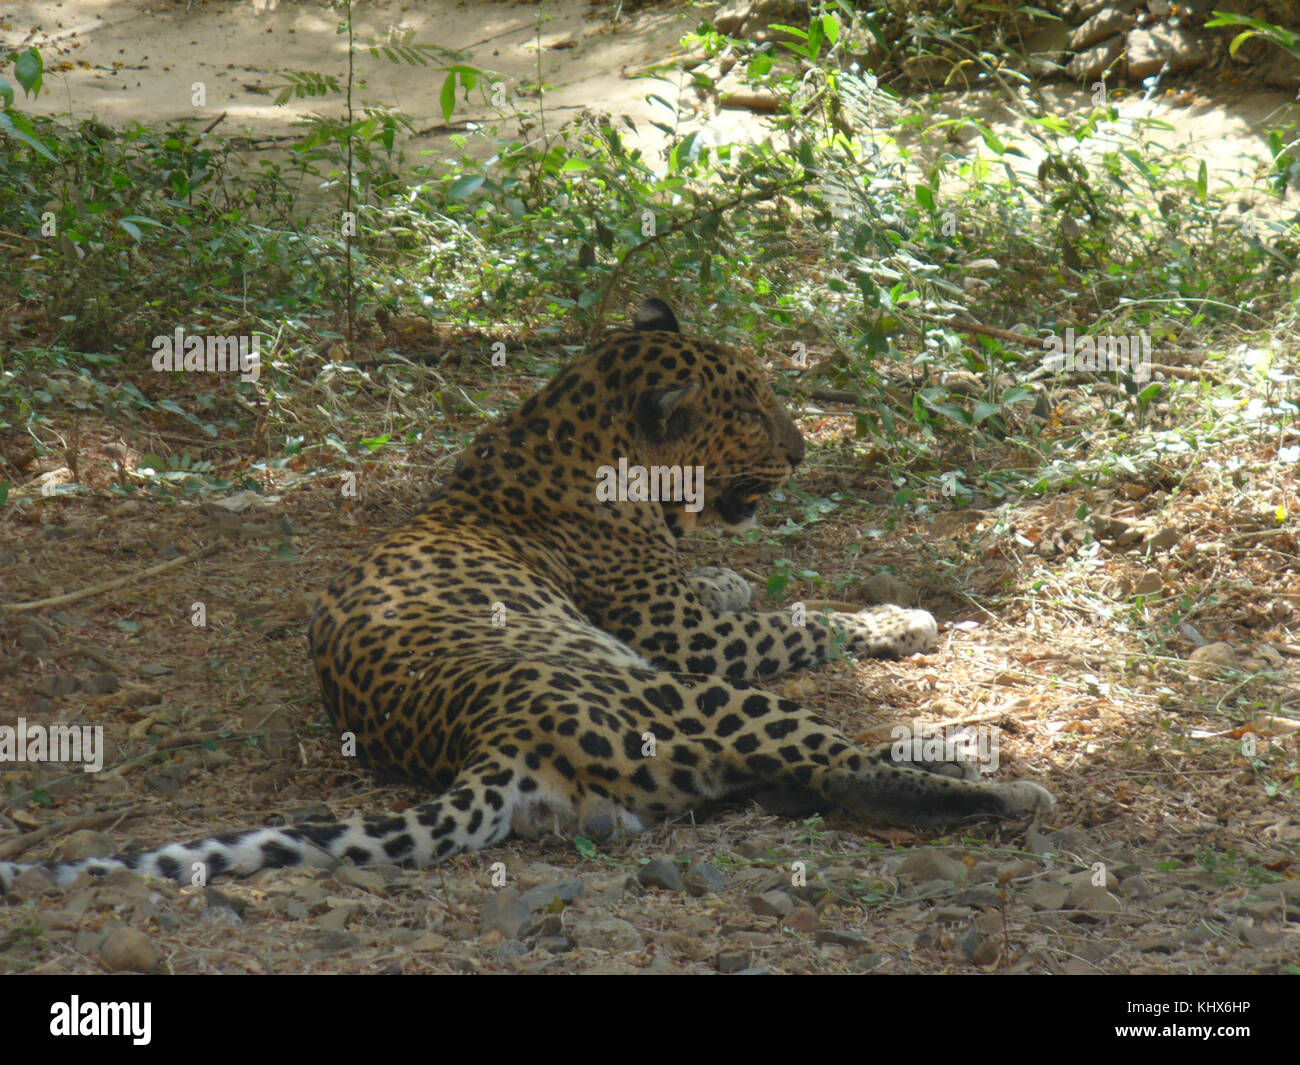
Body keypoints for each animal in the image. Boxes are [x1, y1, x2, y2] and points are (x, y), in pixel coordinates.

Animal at [0, 299, 1052, 891]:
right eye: (751, 409)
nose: (800, 451)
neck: (572, 432)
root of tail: (494, 741)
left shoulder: (677, 601)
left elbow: (737, 586)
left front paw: (737, 571)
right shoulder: (684, 640)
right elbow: (800, 622)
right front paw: (900, 617)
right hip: (690, 695)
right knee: (849, 769)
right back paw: (997, 773)